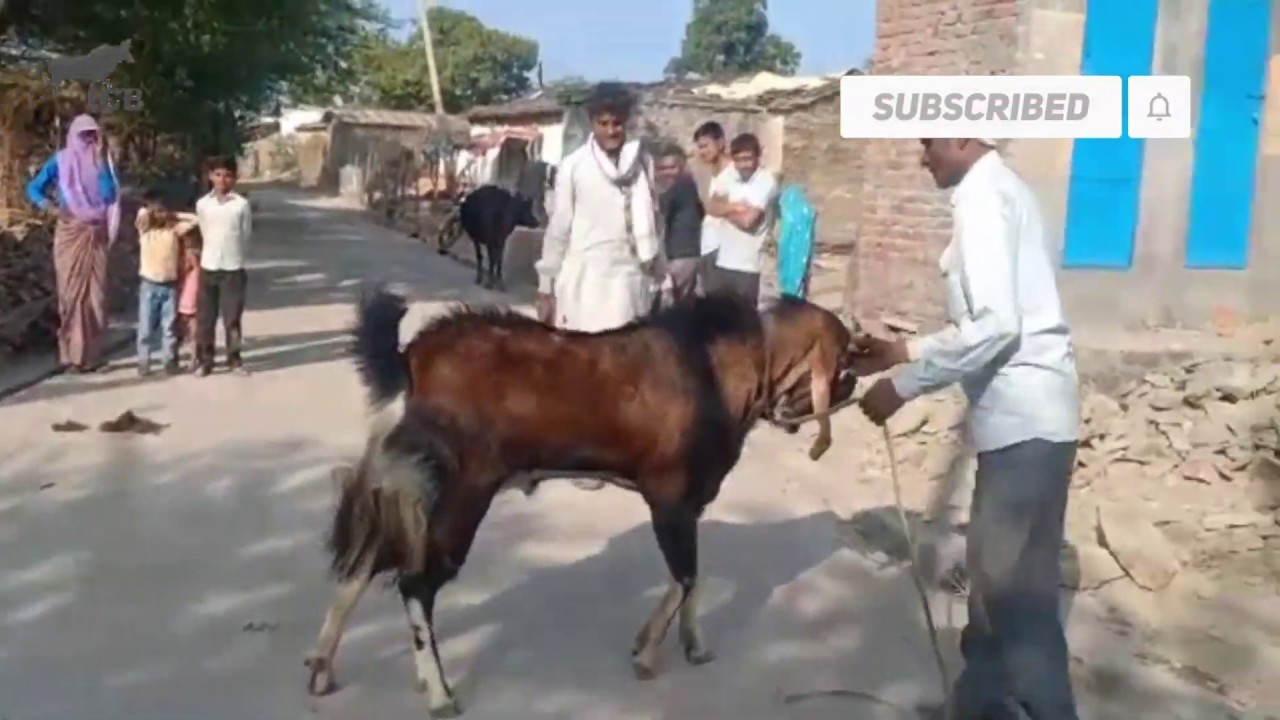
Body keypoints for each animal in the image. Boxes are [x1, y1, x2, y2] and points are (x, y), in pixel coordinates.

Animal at [304, 288, 859, 717]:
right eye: (845, 359)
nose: (850, 389)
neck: (714, 365)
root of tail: (410, 362)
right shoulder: (669, 497)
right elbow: (685, 576)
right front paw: (647, 654)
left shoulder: (690, 504)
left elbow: (692, 577)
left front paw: (692, 645)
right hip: (460, 494)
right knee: (415, 582)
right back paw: (439, 694)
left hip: (412, 488)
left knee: (365, 561)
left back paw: (322, 668)